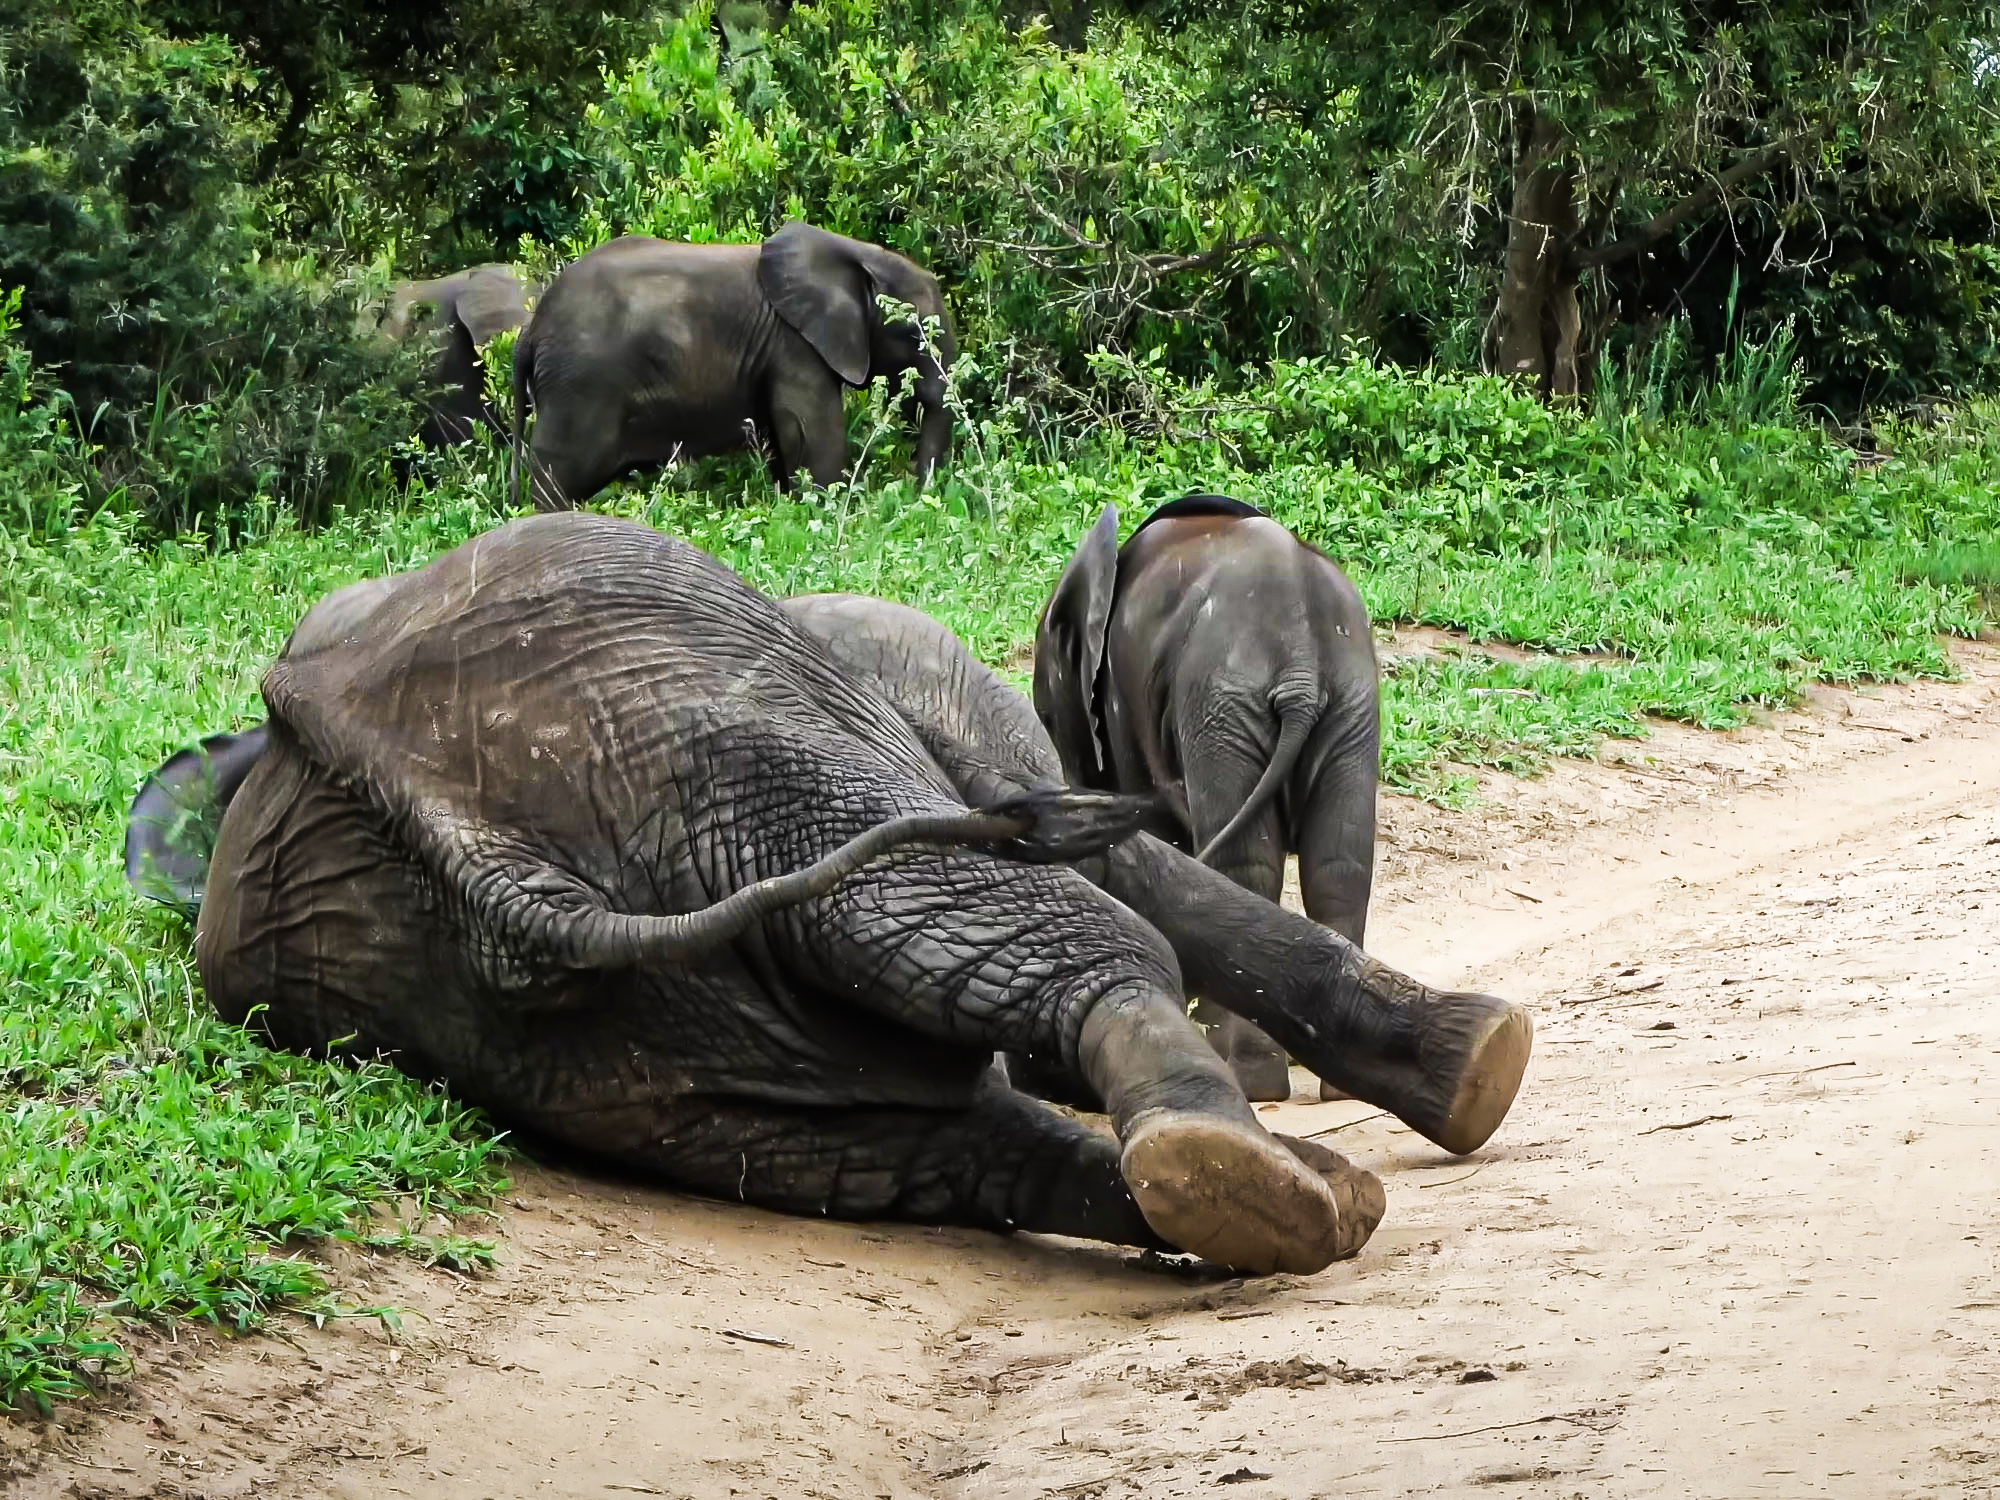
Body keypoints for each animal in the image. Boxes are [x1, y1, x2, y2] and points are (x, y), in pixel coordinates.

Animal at [510, 222, 956, 510]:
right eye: (914, 332)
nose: (918, 495)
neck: (858, 254)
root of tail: (530, 330)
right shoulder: (795, 344)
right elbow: (812, 432)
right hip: (580, 385)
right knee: (561, 470)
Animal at [1033, 494, 1380, 1103]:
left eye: (1048, 718)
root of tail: (1300, 671)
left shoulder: (1124, 704)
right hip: (1348, 706)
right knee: (1338, 867)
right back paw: (1335, 1087)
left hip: (1221, 700)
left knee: (1245, 870)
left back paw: (1253, 1078)